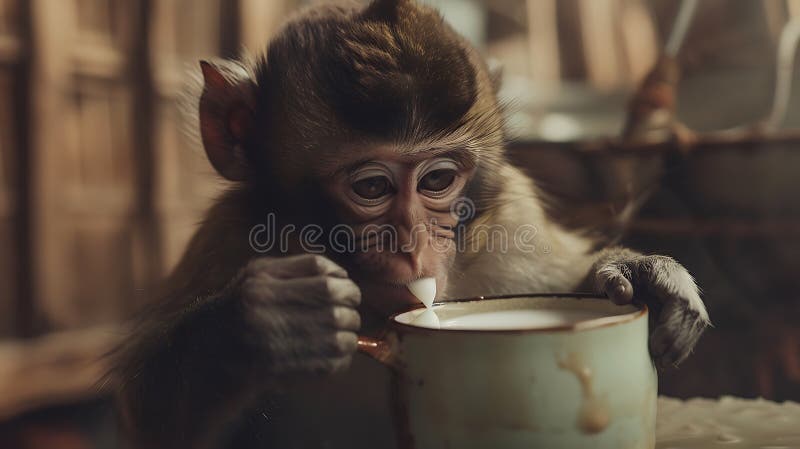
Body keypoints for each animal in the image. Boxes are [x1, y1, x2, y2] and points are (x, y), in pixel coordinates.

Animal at [111, 1, 709, 448]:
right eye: (372, 187)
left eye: (437, 179)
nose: (416, 247)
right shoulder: (230, 237)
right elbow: (154, 426)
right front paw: (265, 324)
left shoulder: (514, 227)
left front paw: (644, 276)